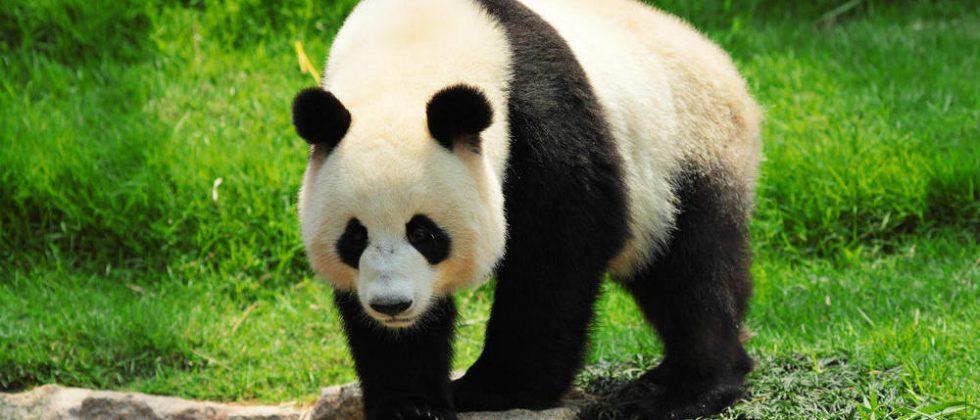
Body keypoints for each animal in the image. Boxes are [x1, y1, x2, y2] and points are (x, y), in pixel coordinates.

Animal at [292, 0, 762, 418]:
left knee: (692, 272)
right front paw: (410, 404)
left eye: (424, 233)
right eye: (355, 236)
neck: (408, 51)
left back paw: (683, 391)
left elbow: (557, 252)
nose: (392, 304)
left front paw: (494, 389)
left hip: (687, 154)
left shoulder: (540, 116)